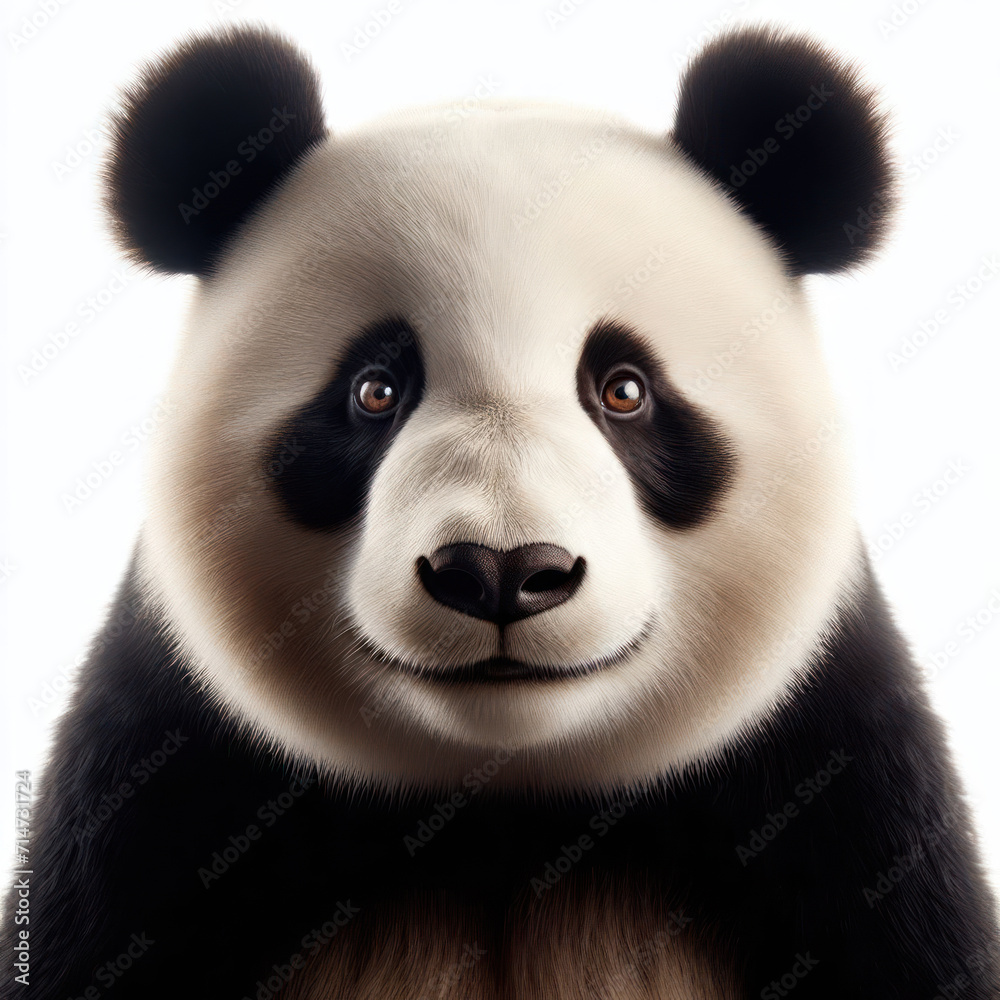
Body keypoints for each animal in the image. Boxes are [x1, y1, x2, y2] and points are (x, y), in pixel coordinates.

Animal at [2, 21, 998, 1000]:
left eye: (625, 388)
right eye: (375, 388)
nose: (501, 572)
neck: (508, 815)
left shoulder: (840, 784)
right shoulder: (165, 784)